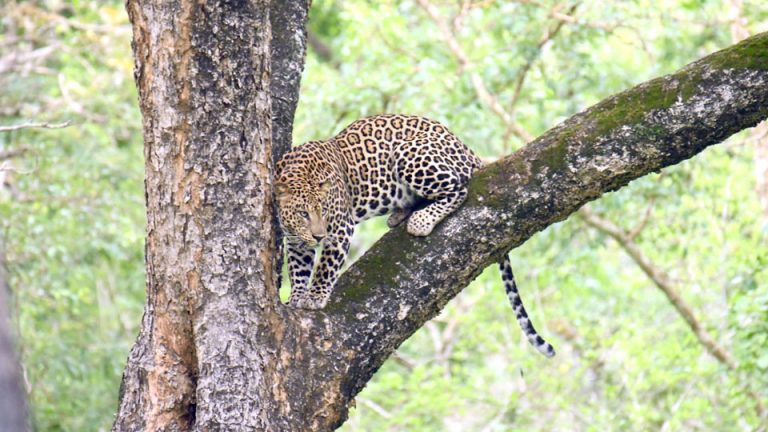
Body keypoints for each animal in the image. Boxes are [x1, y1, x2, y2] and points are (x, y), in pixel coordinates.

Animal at [275, 114, 555, 357]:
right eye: (303, 214)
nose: (318, 236)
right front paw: (296, 297)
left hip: (410, 154)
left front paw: (315, 297)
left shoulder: (340, 228)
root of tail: (462, 144)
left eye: (324, 210)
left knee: (459, 188)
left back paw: (421, 220)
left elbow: (325, 266)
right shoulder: (296, 241)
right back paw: (400, 213)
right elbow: (298, 269)